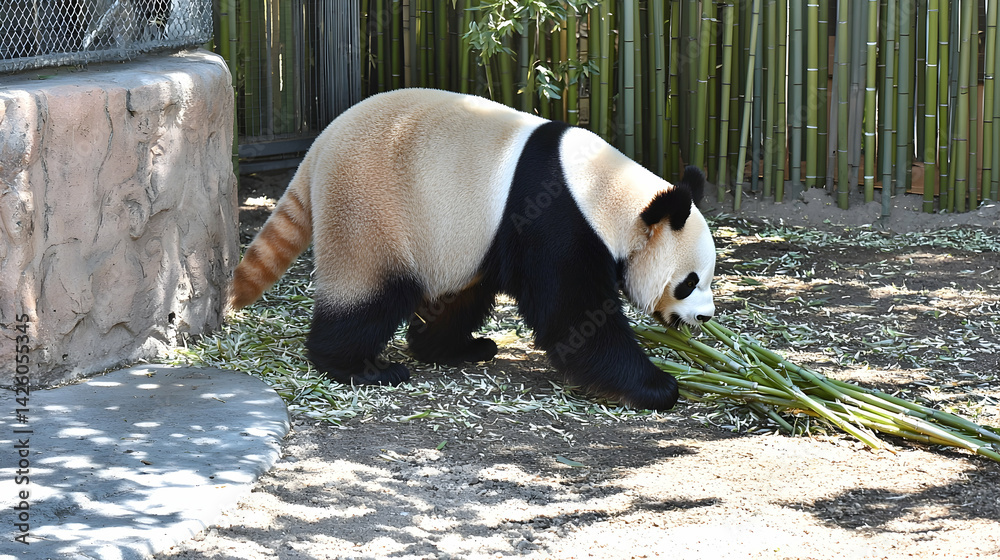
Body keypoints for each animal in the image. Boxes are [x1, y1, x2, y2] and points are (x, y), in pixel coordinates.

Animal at [228, 88, 716, 410]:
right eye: (689, 283)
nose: (706, 317)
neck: (607, 192)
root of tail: (318, 146)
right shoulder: (557, 218)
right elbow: (573, 316)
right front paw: (657, 387)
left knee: (460, 292)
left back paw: (455, 347)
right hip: (371, 209)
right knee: (369, 294)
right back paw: (359, 367)